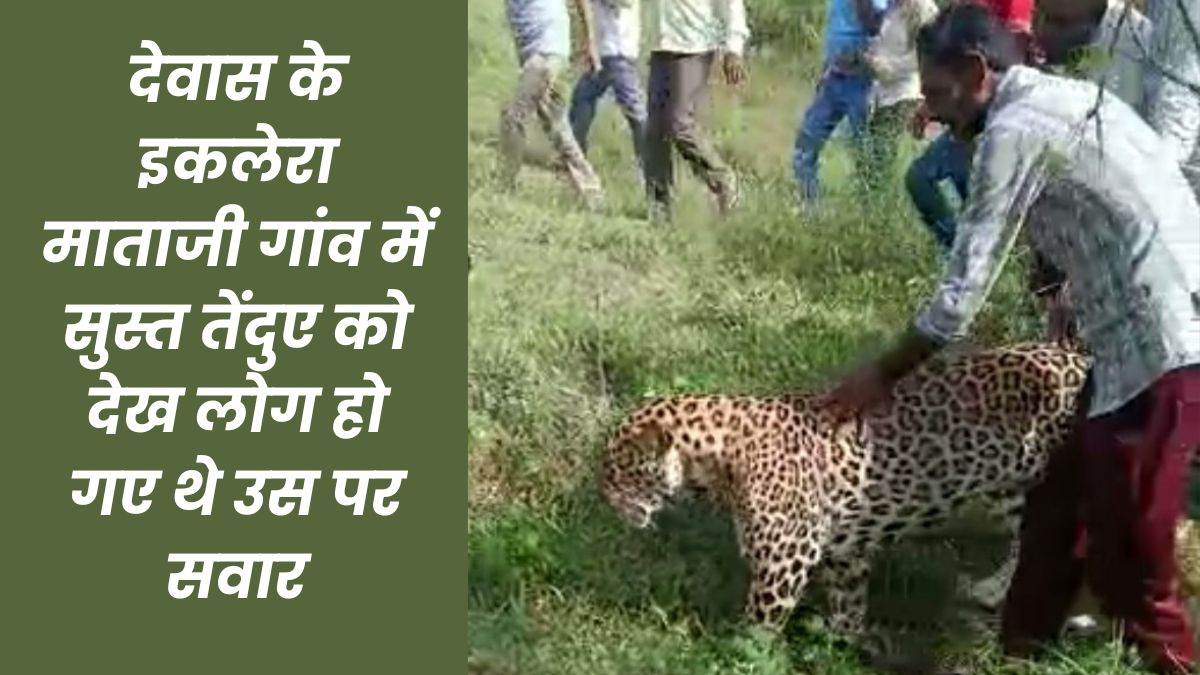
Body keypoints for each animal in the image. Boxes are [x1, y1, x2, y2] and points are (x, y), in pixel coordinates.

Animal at [600, 342, 1200, 646]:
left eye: (618, 473)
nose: (607, 504)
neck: (715, 461)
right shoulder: (845, 551)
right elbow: (848, 605)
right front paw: (840, 644)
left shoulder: (785, 559)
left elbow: (757, 627)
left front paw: (736, 656)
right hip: (1014, 489)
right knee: (1030, 543)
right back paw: (997, 592)